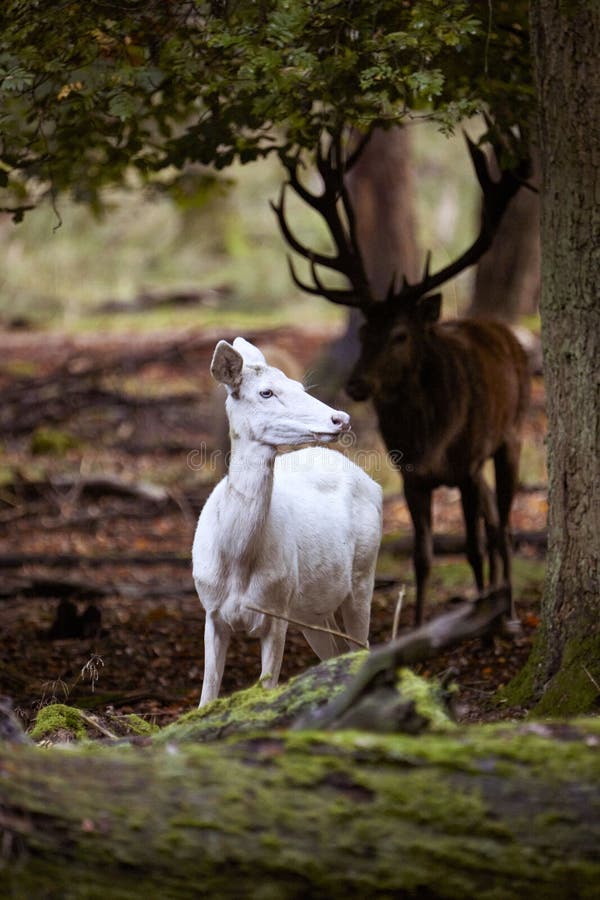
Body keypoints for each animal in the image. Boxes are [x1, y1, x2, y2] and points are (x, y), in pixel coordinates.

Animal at [192, 337, 382, 706]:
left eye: (300, 386)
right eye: (266, 392)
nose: (341, 418)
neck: (237, 560)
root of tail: (376, 485)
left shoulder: (276, 610)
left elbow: (267, 688)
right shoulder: (211, 611)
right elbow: (207, 695)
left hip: (364, 573)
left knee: (362, 648)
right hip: (311, 610)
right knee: (337, 652)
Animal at [271, 128, 531, 628]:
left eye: (400, 334)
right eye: (364, 331)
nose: (356, 384)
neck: (430, 438)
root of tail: (503, 331)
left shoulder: (467, 467)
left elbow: (471, 548)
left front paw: (480, 626)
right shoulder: (411, 475)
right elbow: (422, 557)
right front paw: (415, 628)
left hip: (510, 437)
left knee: (503, 525)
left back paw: (506, 612)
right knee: (495, 521)